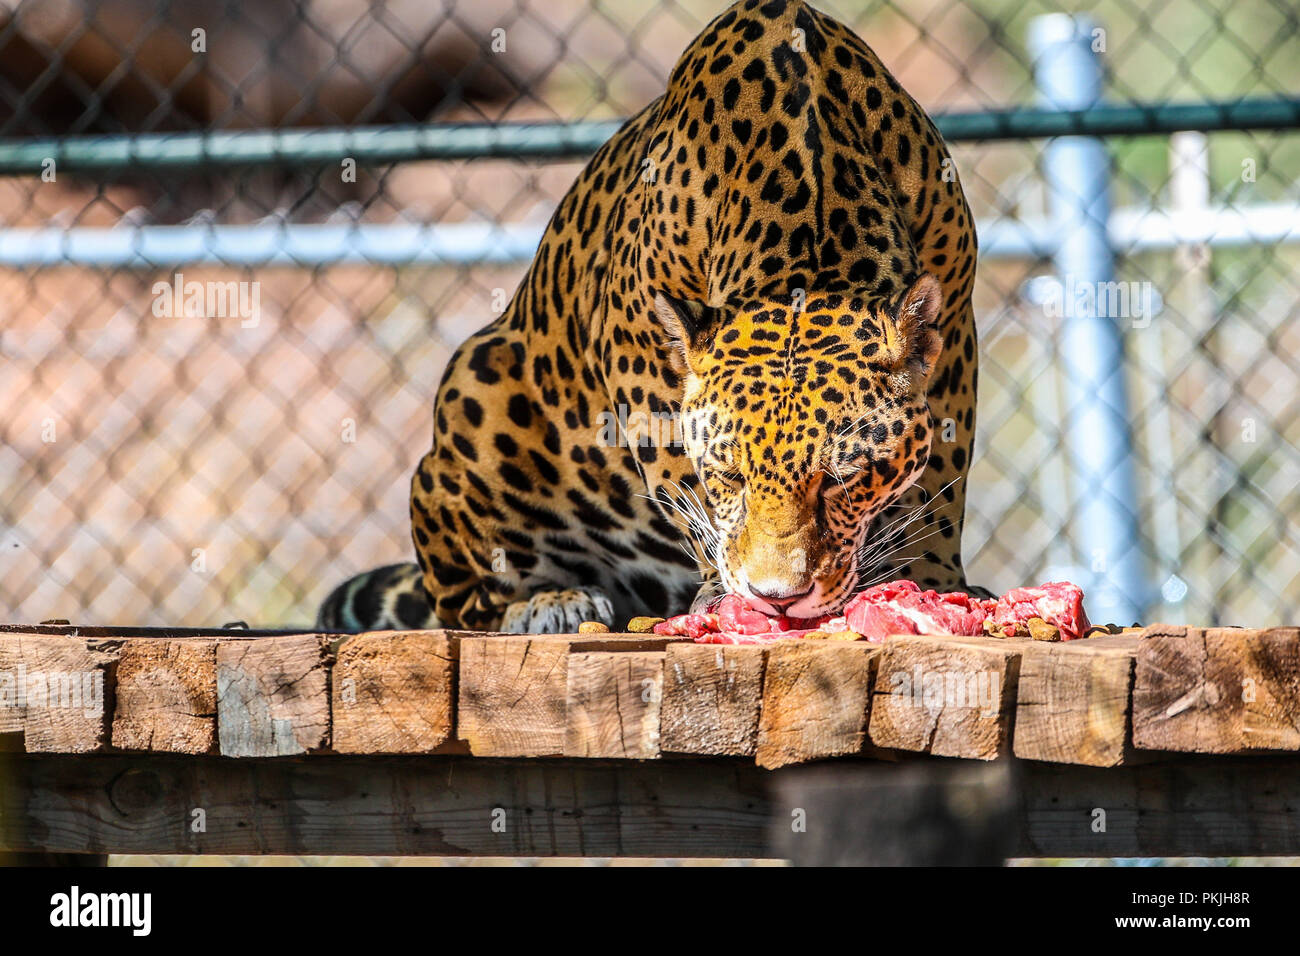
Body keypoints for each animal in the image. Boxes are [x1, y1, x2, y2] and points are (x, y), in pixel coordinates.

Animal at [317, 0, 982, 635]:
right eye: (730, 477)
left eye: (843, 481)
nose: (778, 599)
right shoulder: (634, 348)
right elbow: (679, 475)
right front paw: (720, 589)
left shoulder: (954, 335)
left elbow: (941, 482)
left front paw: (933, 580)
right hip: (474, 388)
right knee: (466, 599)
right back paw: (550, 603)